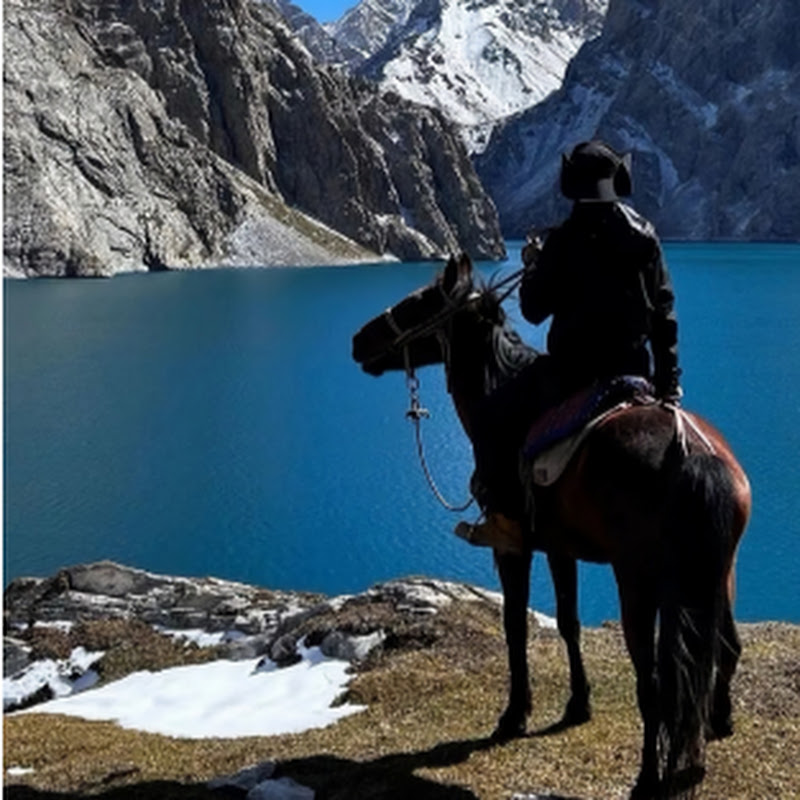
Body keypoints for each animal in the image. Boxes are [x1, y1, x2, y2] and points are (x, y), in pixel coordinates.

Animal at [351, 253, 751, 798]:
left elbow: (515, 625)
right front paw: (577, 705)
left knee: (654, 682)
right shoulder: (561, 547)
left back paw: (648, 777)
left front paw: (514, 715)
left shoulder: (510, 544)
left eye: (420, 302)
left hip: (640, 580)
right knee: (724, 648)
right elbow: (567, 621)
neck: (502, 401)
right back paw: (716, 725)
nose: (359, 341)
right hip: (716, 573)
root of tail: (689, 452)